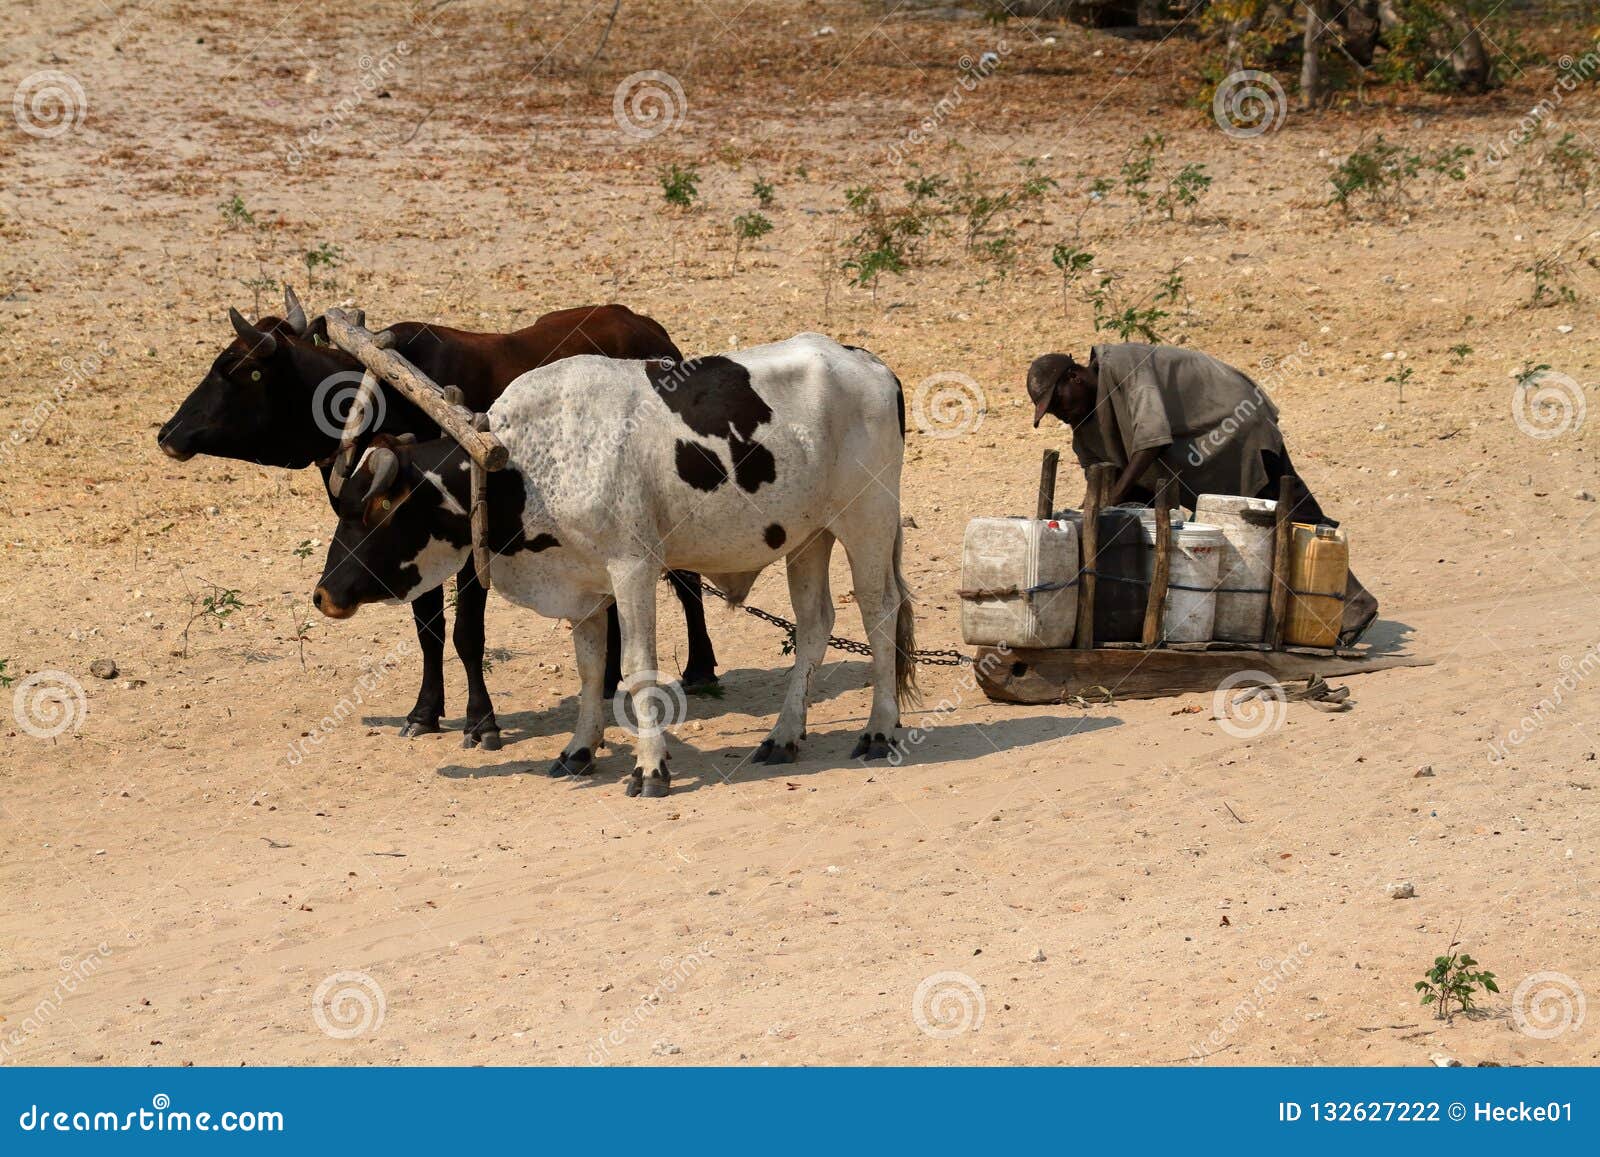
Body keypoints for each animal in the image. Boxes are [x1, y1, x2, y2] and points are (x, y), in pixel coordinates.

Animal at [156, 291, 720, 749]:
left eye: (238, 369)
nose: (168, 433)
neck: (381, 396)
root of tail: (652, 334)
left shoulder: (470, 546)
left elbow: (467, 633)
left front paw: (481, 721)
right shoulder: (409, 545)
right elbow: (428, 628)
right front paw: (424, 712)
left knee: (686, 579)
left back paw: (700, 668)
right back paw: (605, 679)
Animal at [313, 334, 917, 798]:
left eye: (377, 508)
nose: (323, 595)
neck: (528, 465)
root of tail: (868, 362)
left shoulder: (634, 569)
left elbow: (635, 665)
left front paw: (650, 767)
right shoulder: (583, 585)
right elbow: (589, 669)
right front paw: (580, 749)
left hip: (867, 518)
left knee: (879, 612)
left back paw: (879, 732)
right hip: (808, 537)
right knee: (815, 625)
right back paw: (784, 736)